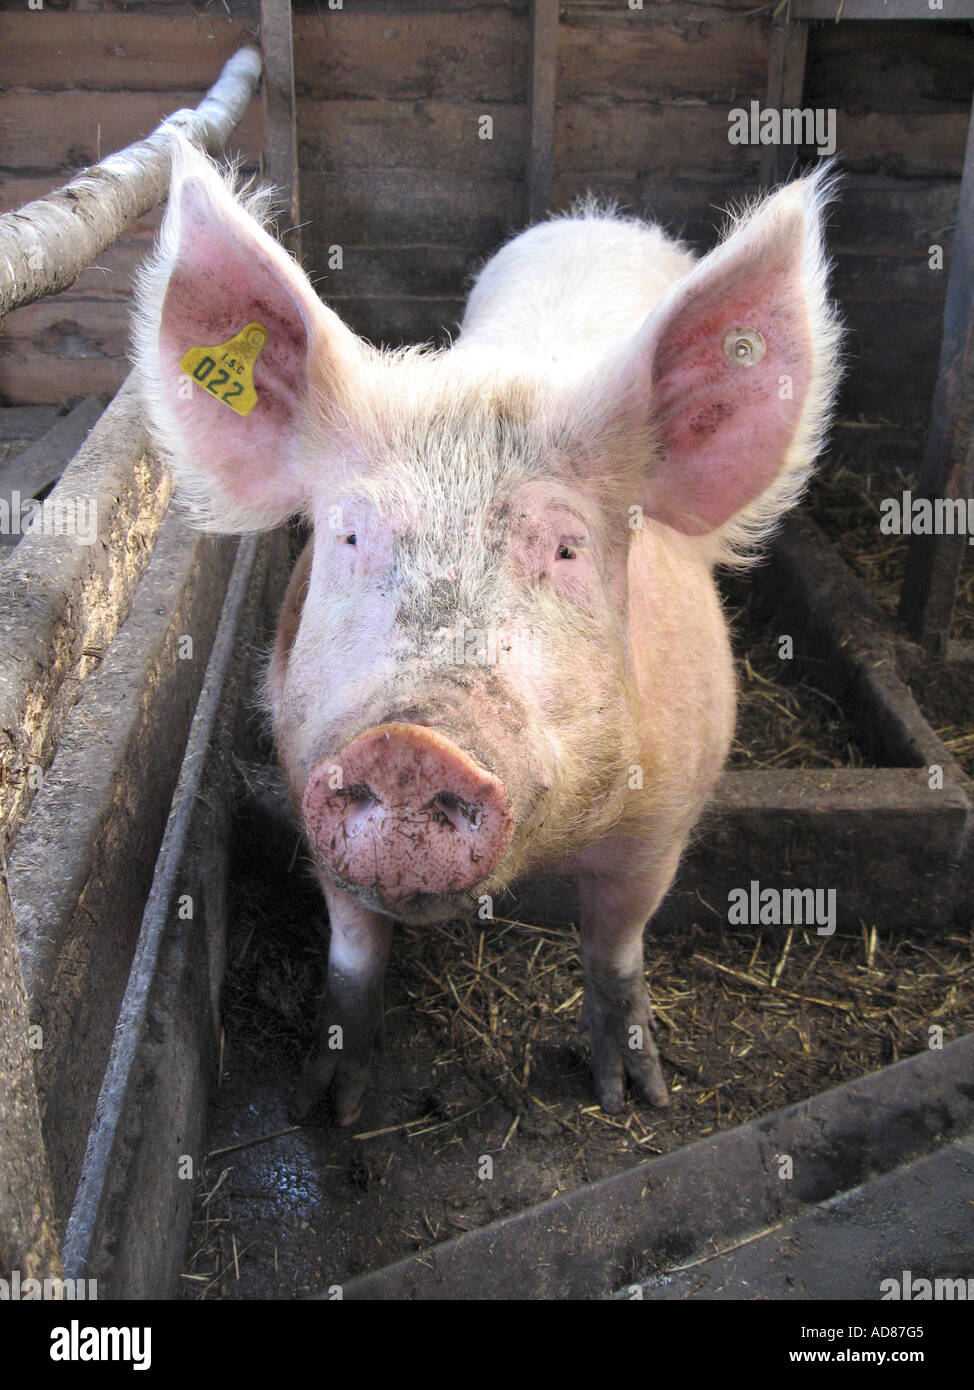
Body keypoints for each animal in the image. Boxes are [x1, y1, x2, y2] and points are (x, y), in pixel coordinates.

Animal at [133, 134, 840, 1125]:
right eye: (349, 536)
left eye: (567, 549)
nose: (409, 743)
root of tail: (595, 217)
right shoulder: (304, 767)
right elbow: (353, 948)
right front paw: (331, 1108)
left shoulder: (666, 817)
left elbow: (616, 945)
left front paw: (636, 1097)